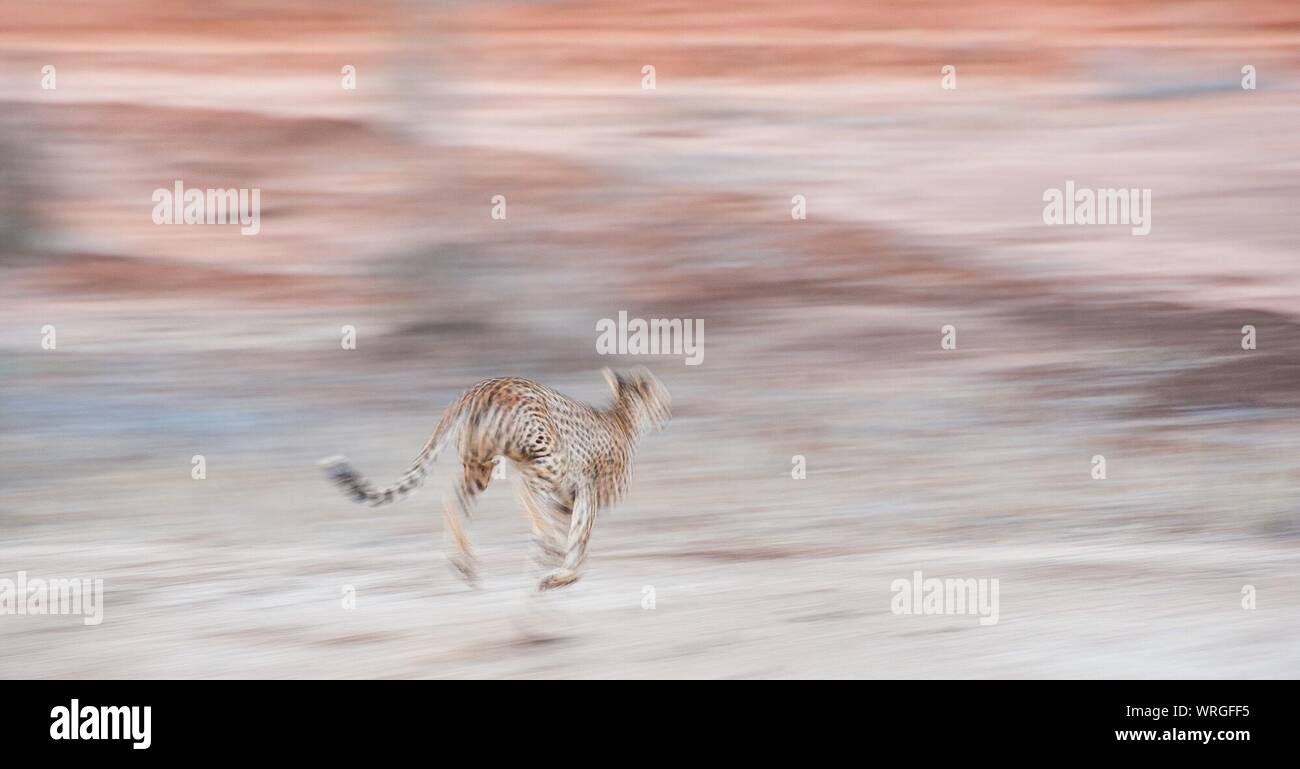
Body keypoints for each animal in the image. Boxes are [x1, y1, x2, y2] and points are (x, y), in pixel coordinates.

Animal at [320, 367, 670, 591]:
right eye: (661, 397)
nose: (668, 415)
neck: (625, 418)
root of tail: (479, 387)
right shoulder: (586, 491)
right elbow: (579, 540)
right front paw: (560, 574)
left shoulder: (569, 499)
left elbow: (569, 538)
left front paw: (552, 573)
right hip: (543, 456)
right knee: (522, 488)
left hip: (481, 465)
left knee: (454, 499)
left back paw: (465, 564)